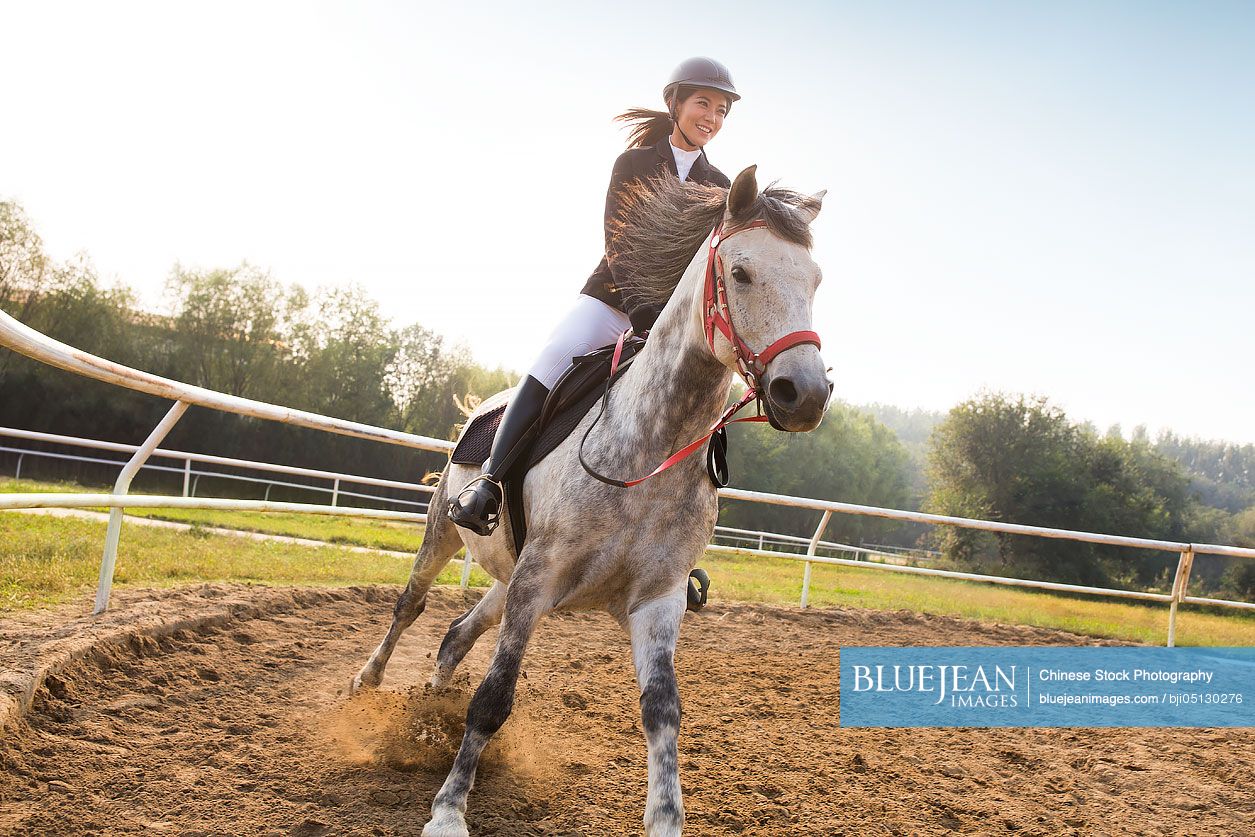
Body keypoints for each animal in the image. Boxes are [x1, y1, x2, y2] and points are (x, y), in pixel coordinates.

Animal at [351, 164, 830, 837]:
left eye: (815, 280)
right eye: (740, 273)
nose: (805, 394)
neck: (649, 448)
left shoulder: (655, 601)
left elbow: (663, 713)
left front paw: (665, 820)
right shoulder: (538, 581)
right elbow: (494, 697)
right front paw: (447, 811)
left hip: (508, 578)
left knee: (455, 634)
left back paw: (430, 711)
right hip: (448, 538)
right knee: (410, 606)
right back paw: (368, 684)